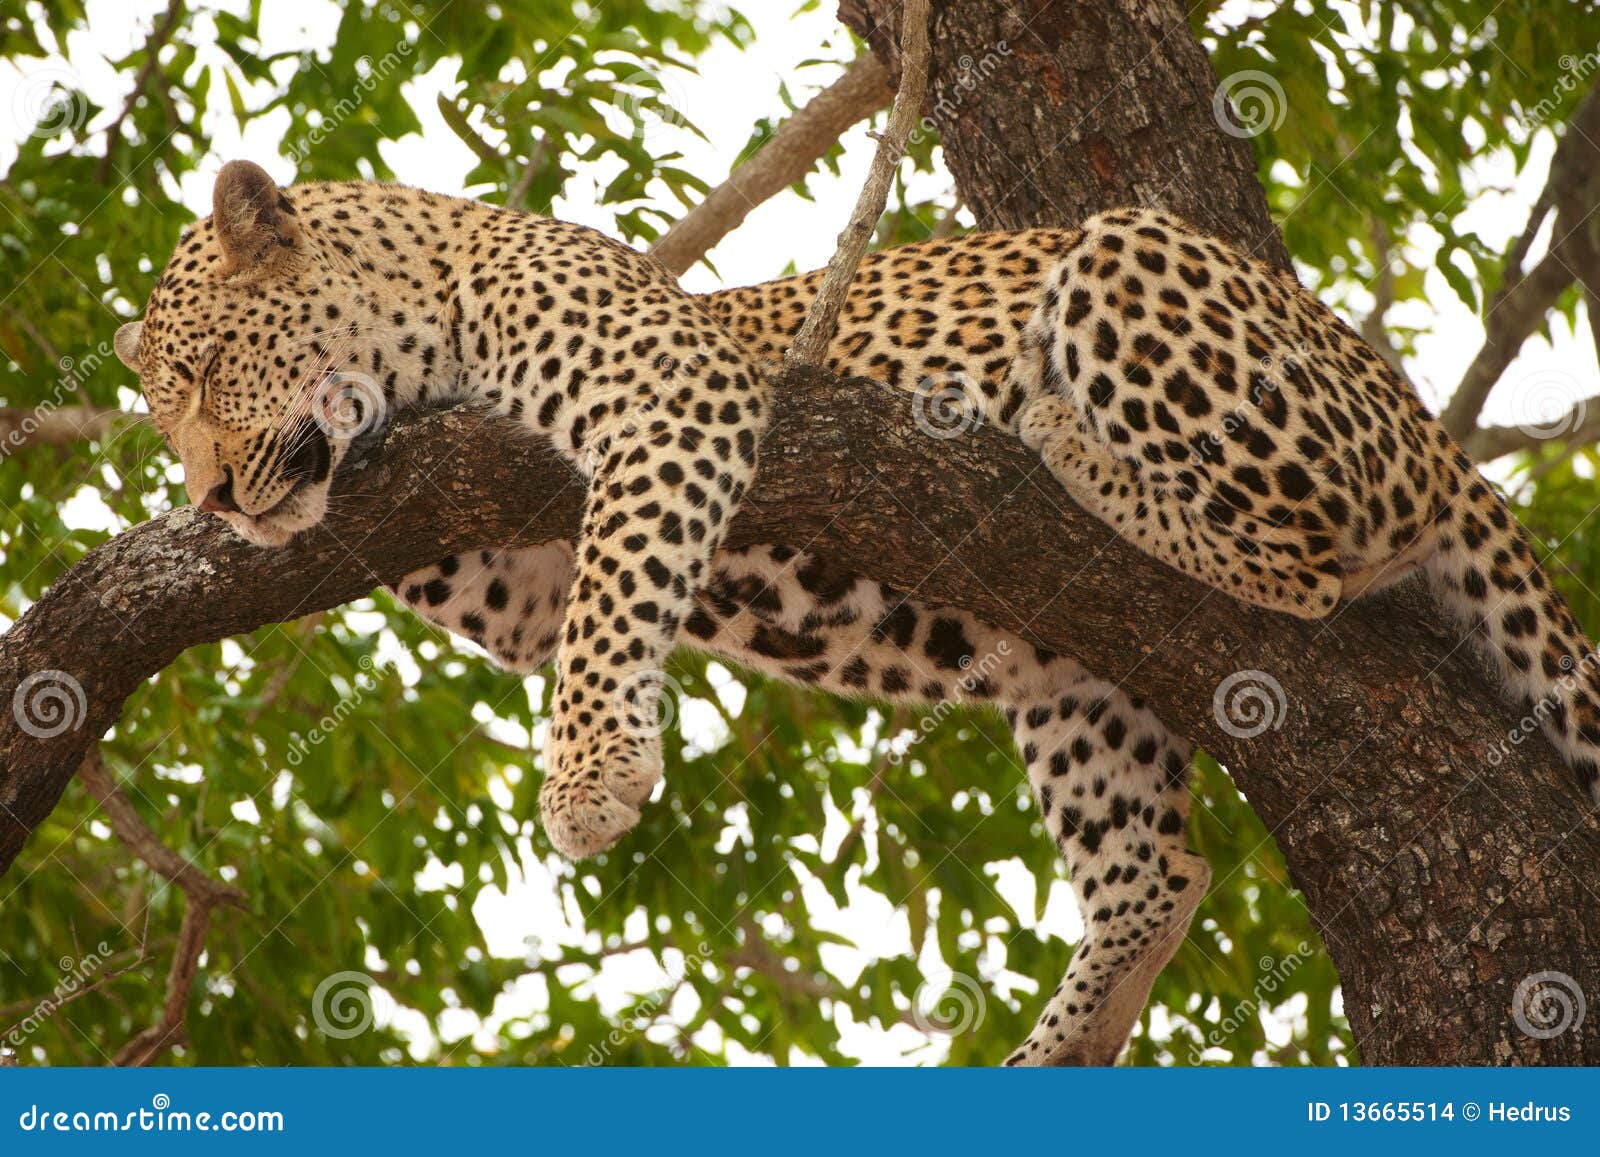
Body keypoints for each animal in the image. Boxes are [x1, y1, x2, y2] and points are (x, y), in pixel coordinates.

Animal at [115, 159, 1600, 1067]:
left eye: (202, 369)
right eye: (162, 399)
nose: (214, 502)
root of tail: (1422, 419)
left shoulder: (669, 392)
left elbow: (615, 592)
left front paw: (590, 779)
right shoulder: (512, 571)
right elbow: (561, 596)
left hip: (1141, 273)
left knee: (1315, 557)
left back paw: (1063, 437)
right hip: (1081, 673)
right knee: (1160, 871)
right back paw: (1055, 1052)